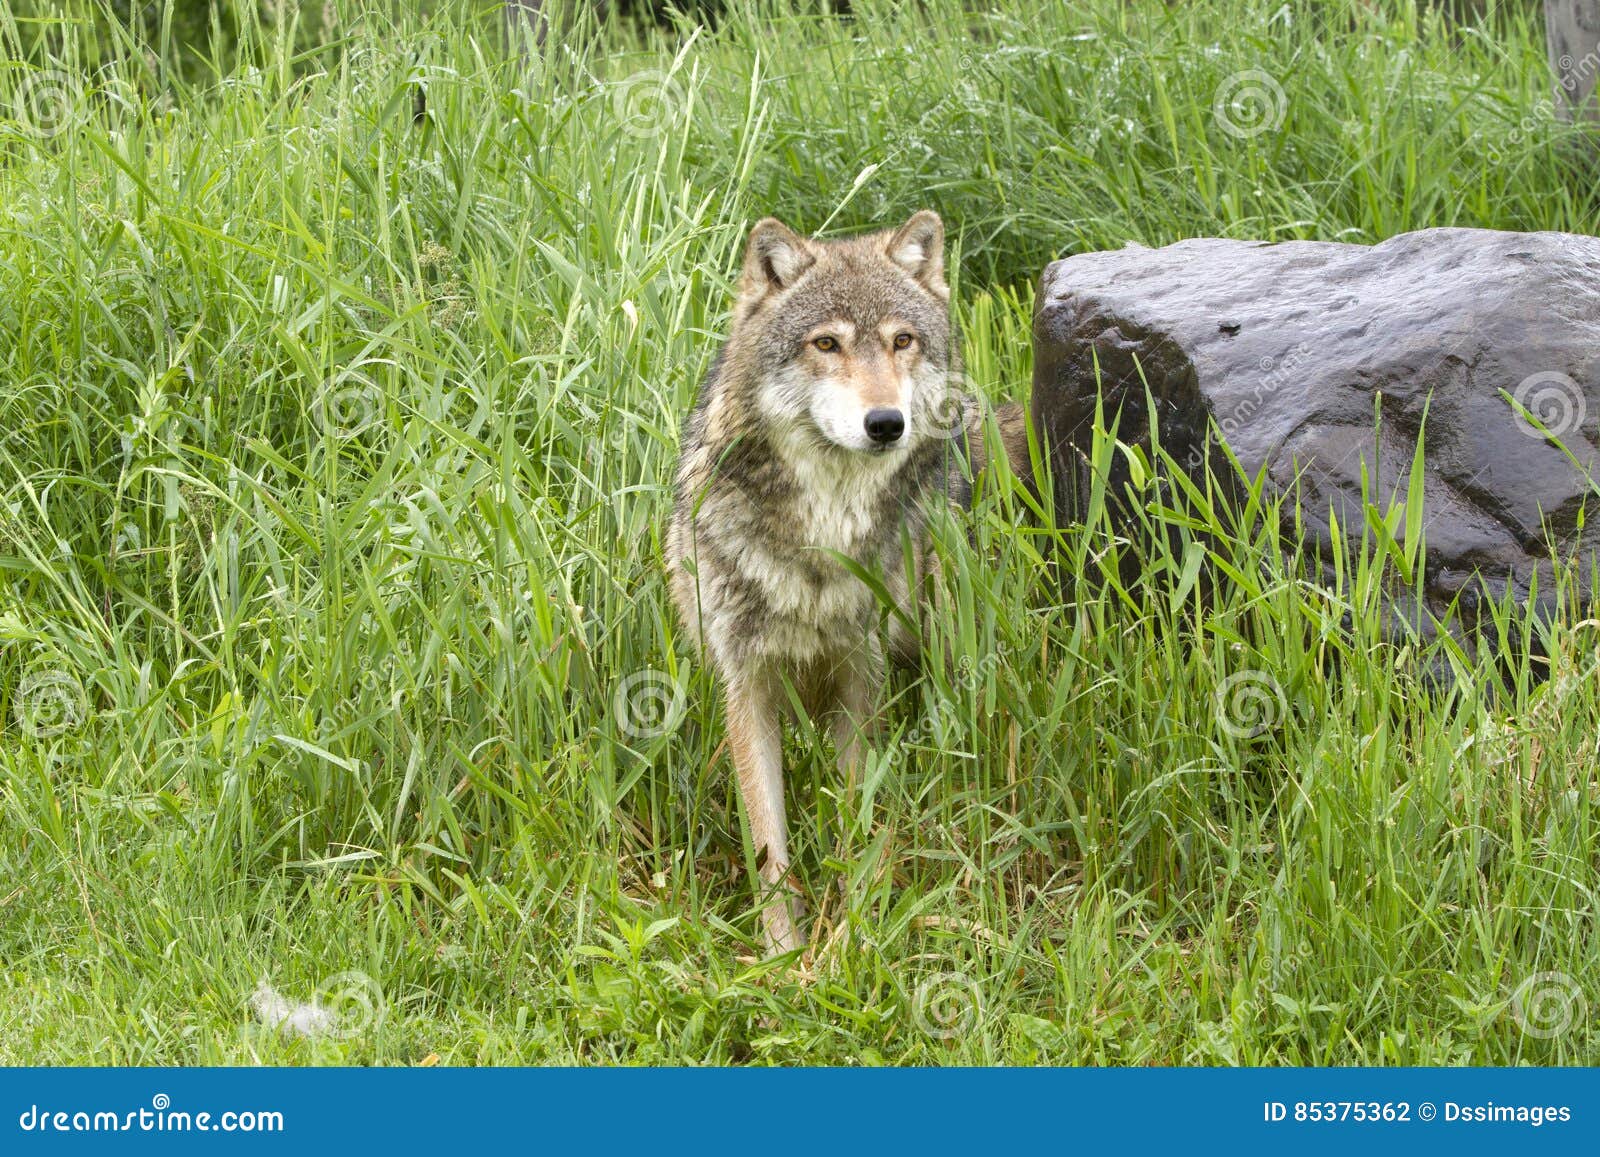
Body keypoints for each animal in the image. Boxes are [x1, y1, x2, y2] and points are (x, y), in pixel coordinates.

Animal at [666, 210, 1028, 955]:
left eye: (902, 341)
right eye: (827, 343)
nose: (886, 423)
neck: (824, 538)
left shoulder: (861, 673)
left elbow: (857, 816)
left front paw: (853, 933)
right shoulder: (746, 683)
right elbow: (768, 844)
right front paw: (782, 958)